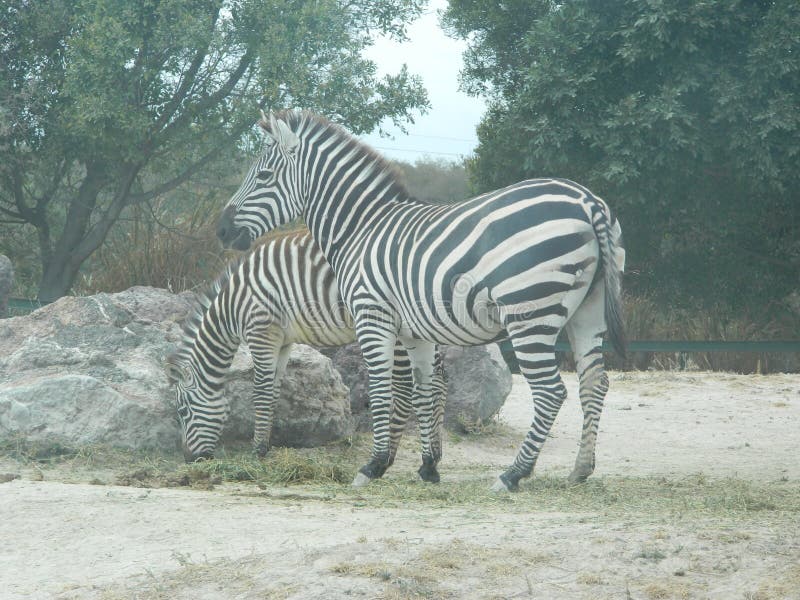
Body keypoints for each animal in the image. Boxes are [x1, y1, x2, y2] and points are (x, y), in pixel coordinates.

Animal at [165, 230, 446, 482]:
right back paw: (431, 460)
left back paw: (391, 461)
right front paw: (265, 447)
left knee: (406, 387)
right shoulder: (282, 342)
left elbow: (261, 393)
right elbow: (274, 391)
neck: (231, 307)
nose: (190, 460)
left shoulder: (261, 332)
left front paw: (256, 453)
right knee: (438, 381)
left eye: (183, 411)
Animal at [216, 110, 626, 492]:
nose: (222, 230)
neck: (359, 230)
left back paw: (513, 475)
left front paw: (374, 465)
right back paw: (580, 471)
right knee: (594, 382)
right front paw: (428, 467)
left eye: (264, 176)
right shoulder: (416, 332)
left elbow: (383, 390)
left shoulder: (372, 316)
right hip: (587, 310)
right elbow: (425, 391)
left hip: (530, 312)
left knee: (551, 392)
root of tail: (587, 200)